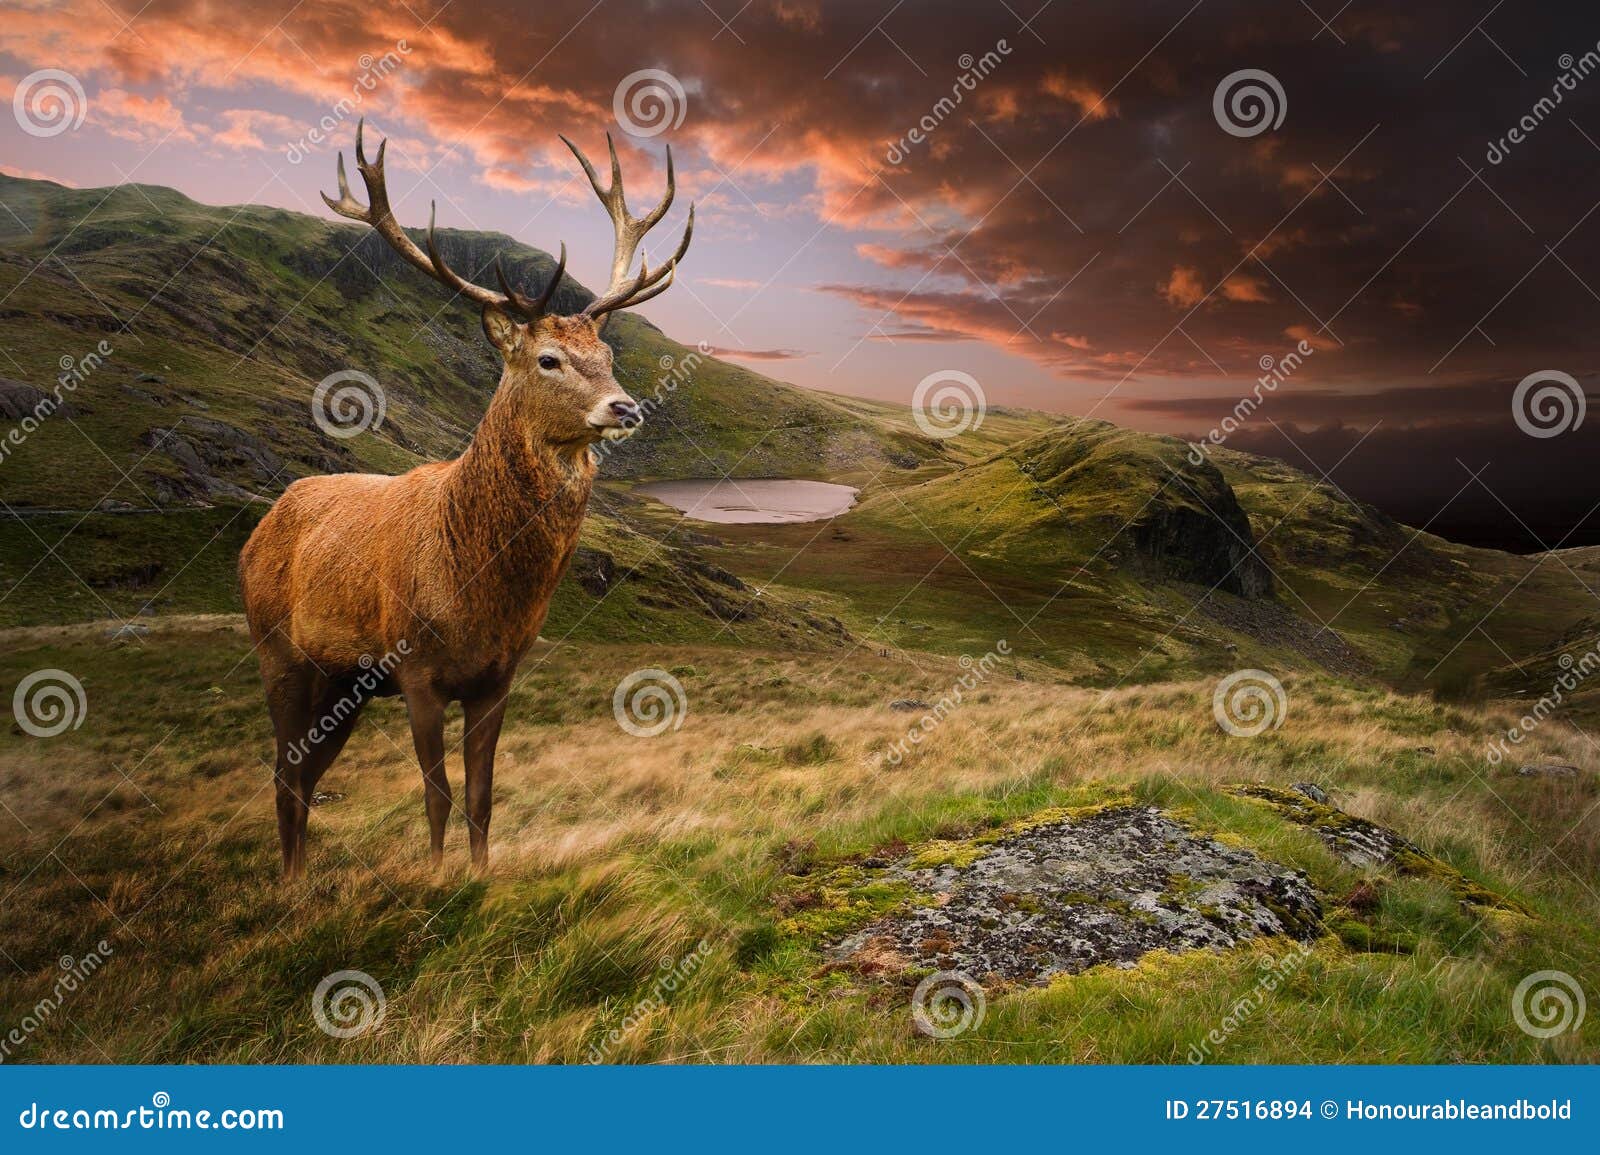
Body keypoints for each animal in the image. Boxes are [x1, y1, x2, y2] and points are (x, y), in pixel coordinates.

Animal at [238, 120, 692, 879]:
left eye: (606, 353)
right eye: (547, 359)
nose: (625, 407)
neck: (477, 584)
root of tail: (257, 531)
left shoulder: (498, 674)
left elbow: (483, 791)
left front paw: (480, 876)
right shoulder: (416, 667)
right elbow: (438, 793)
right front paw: (436, 877)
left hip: (342, 684)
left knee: (305, 771)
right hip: (279, 651)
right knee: (283, 772)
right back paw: (289, 885)